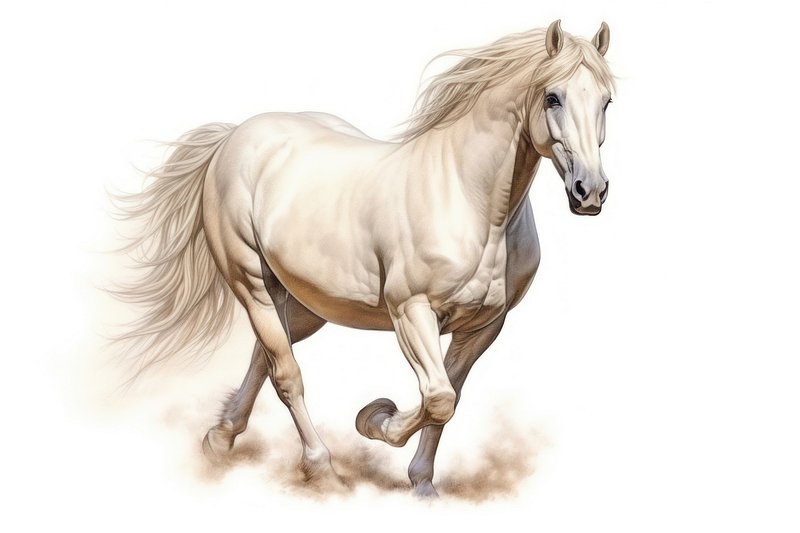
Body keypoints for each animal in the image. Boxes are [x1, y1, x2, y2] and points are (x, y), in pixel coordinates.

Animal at [113, 20, 615, 497]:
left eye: (607, 101)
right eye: (552, 96)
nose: (590, 192)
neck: (468, 200)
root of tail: (235, 135)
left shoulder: (484, 326)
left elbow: (450, 399)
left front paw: (422, 484)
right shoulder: (411, 311)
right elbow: (438, 397)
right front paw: (375, 418)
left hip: (306, 303)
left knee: (266, 355)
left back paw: (219, 439)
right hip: (251, 283)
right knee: (286, 374)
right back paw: (321, 467)